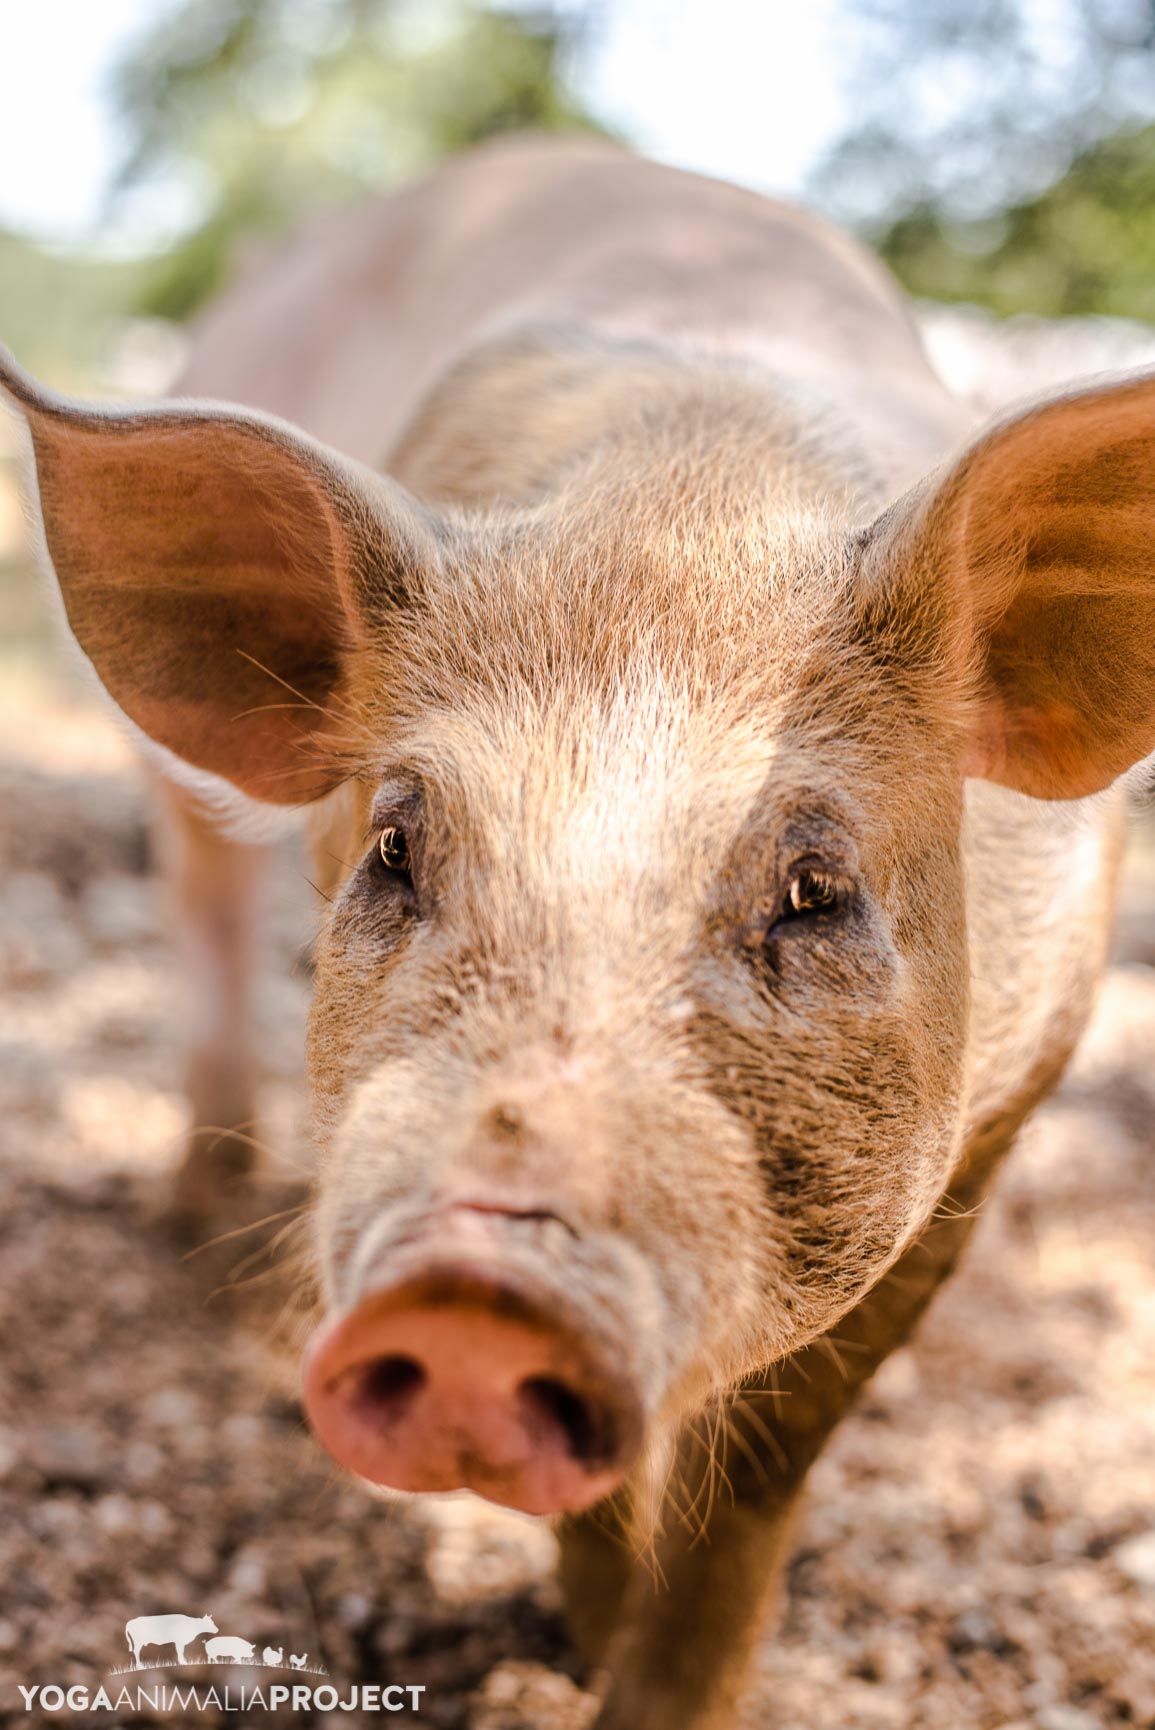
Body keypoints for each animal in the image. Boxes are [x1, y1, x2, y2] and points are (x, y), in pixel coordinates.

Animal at [3, 136, 1153, 1729]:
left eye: (816, 888)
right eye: (396, 846)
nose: (474, 1291)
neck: (688, 491)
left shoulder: (1011, 1093)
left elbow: (767, 1462)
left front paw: (645, 1677)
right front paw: (581, 1644)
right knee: (199, 909)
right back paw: (194, 1223)